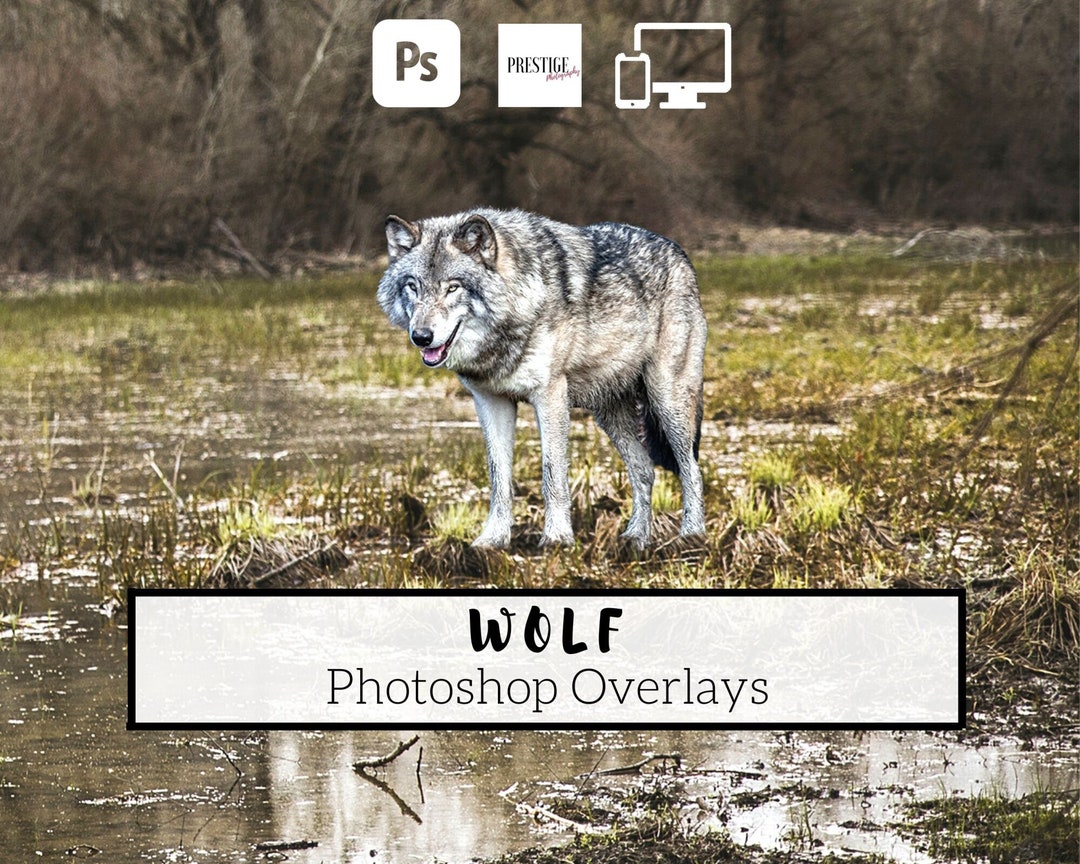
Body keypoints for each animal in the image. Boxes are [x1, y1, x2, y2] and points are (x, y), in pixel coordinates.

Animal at [376, 208, 706, 549]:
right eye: (413, 287)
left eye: (453, 287)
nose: (421, 337)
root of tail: (678, 251)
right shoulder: (490, 402)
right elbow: (498, 476)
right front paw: (493, 539)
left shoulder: (550, 396)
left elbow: (552, 473)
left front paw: (557, 537)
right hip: (610, 415)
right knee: (644, 470)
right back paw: (635, 538)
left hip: (668, 400)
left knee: (691, 469)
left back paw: (692, 535)